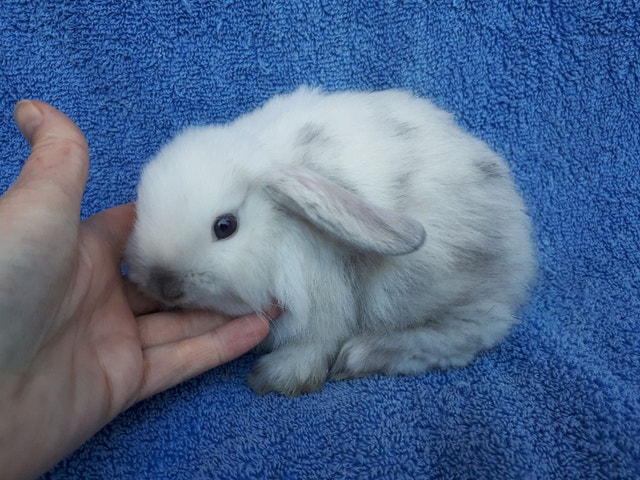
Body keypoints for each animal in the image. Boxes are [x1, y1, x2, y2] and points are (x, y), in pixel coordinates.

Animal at [125, 87, 536, 396]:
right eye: (140, 213)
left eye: (225, 226)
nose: (165, 285)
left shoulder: (321, 298)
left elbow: (315, 343)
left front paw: (276, 378)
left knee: (477, 330)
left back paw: (362, 355)